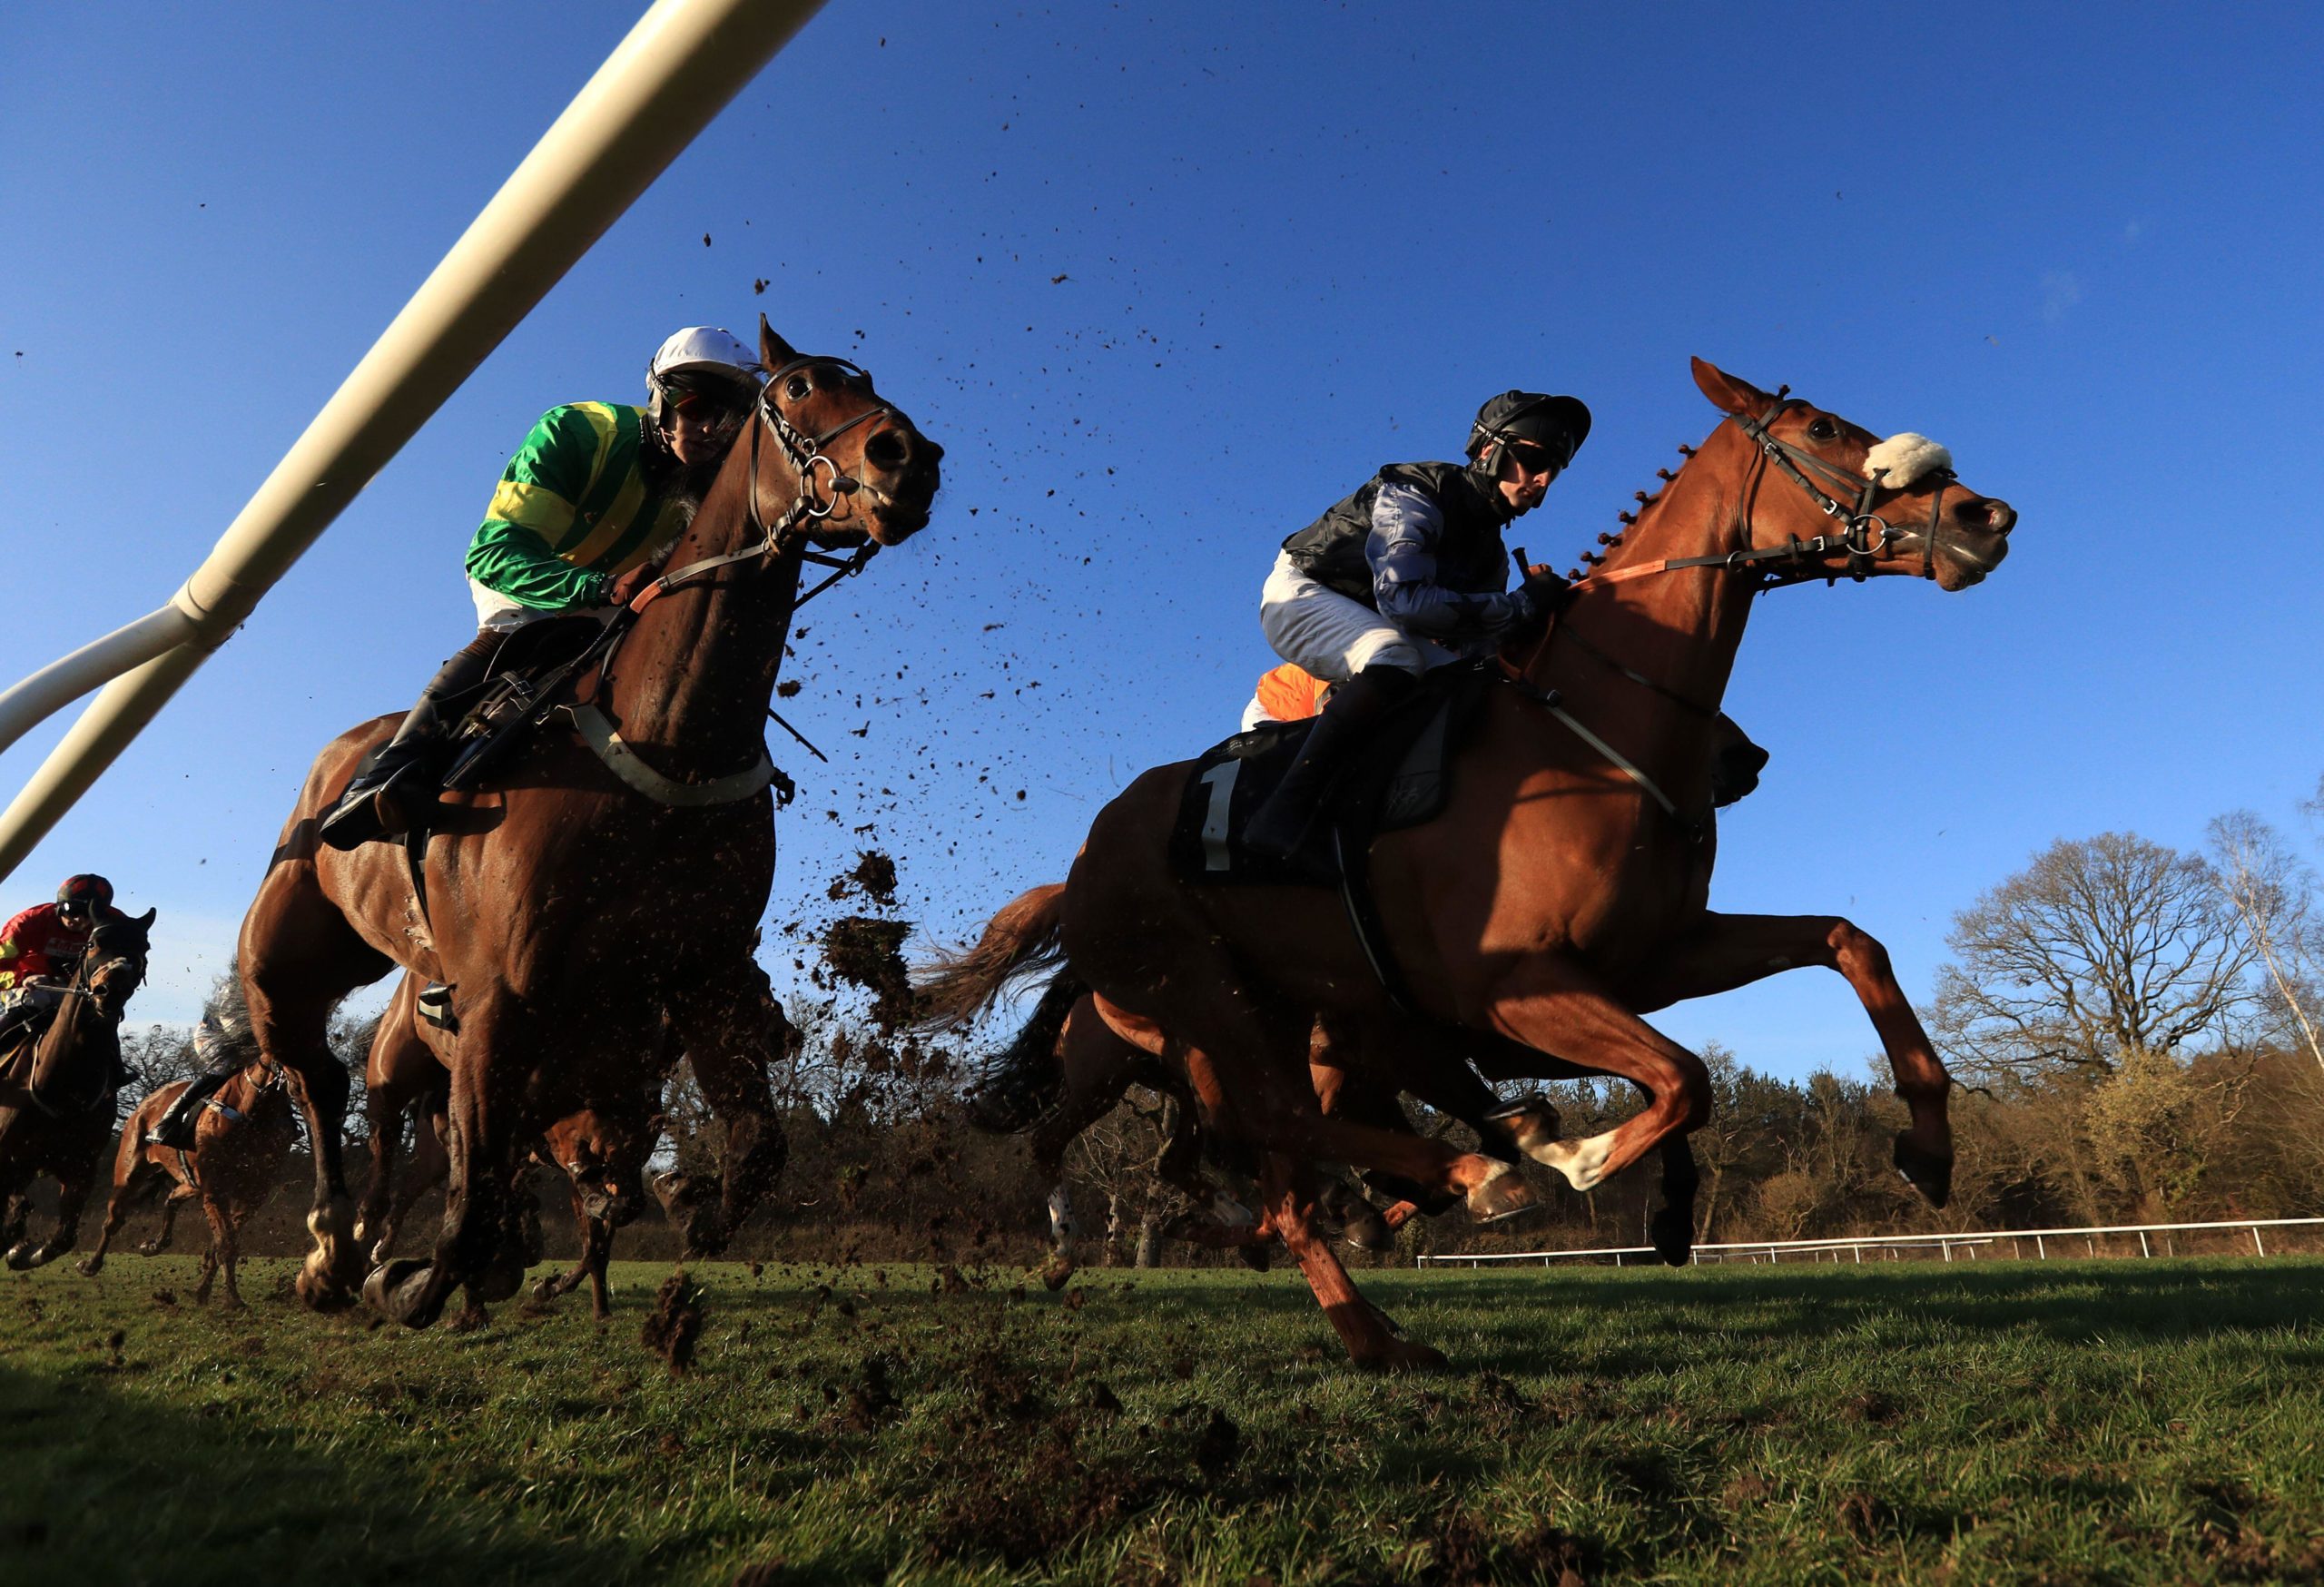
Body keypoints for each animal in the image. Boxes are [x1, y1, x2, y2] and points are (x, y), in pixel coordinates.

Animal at [0, 910, 157, 1270]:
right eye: (94, 942)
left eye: (143, 948)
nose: (110, 990)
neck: (64, 1085)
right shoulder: (7, 1160)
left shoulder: (81, 1169)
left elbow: (63, 1238)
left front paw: (23, 1251)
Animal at [79, 1035, 295, 1307]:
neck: (255, 1114)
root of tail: (149, 1101)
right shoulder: (216, 1189)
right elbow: (225, 1244)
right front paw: (232, 1299)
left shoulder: (252, 1194)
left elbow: (224, 1243)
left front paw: (205, 1291)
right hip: (130, 1171)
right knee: (114, 1219)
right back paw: (91, 1265)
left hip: (192, 1183)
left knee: (171, 1199)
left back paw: (154, 1245)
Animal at [237, 316, 942, 1326]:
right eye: (800, 387)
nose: (908, 457)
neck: (671, 744)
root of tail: (342, 750)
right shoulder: (501, 998)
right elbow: (470, 1201)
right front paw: (413, 1277)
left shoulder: (701, 977)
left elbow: (756, 1149)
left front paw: (687, 1203)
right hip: (284, 952)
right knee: (318, 1078)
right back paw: (335, 1245)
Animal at [921, 359, 2014, 1367]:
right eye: (1824, 428)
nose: (1986, 514)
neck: (1590, 730)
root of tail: (1083, 855)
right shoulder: (1511, 988)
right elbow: (1684, 1076)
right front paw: (1577, 1154)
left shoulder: (1652, 958)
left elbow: (1847, 941)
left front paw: (1925, 1143)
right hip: (1203, 1005)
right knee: (1258, 1128)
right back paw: (1406, 1224)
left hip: (1256, 1016)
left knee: (1271, 1150)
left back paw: (1381, 1297)